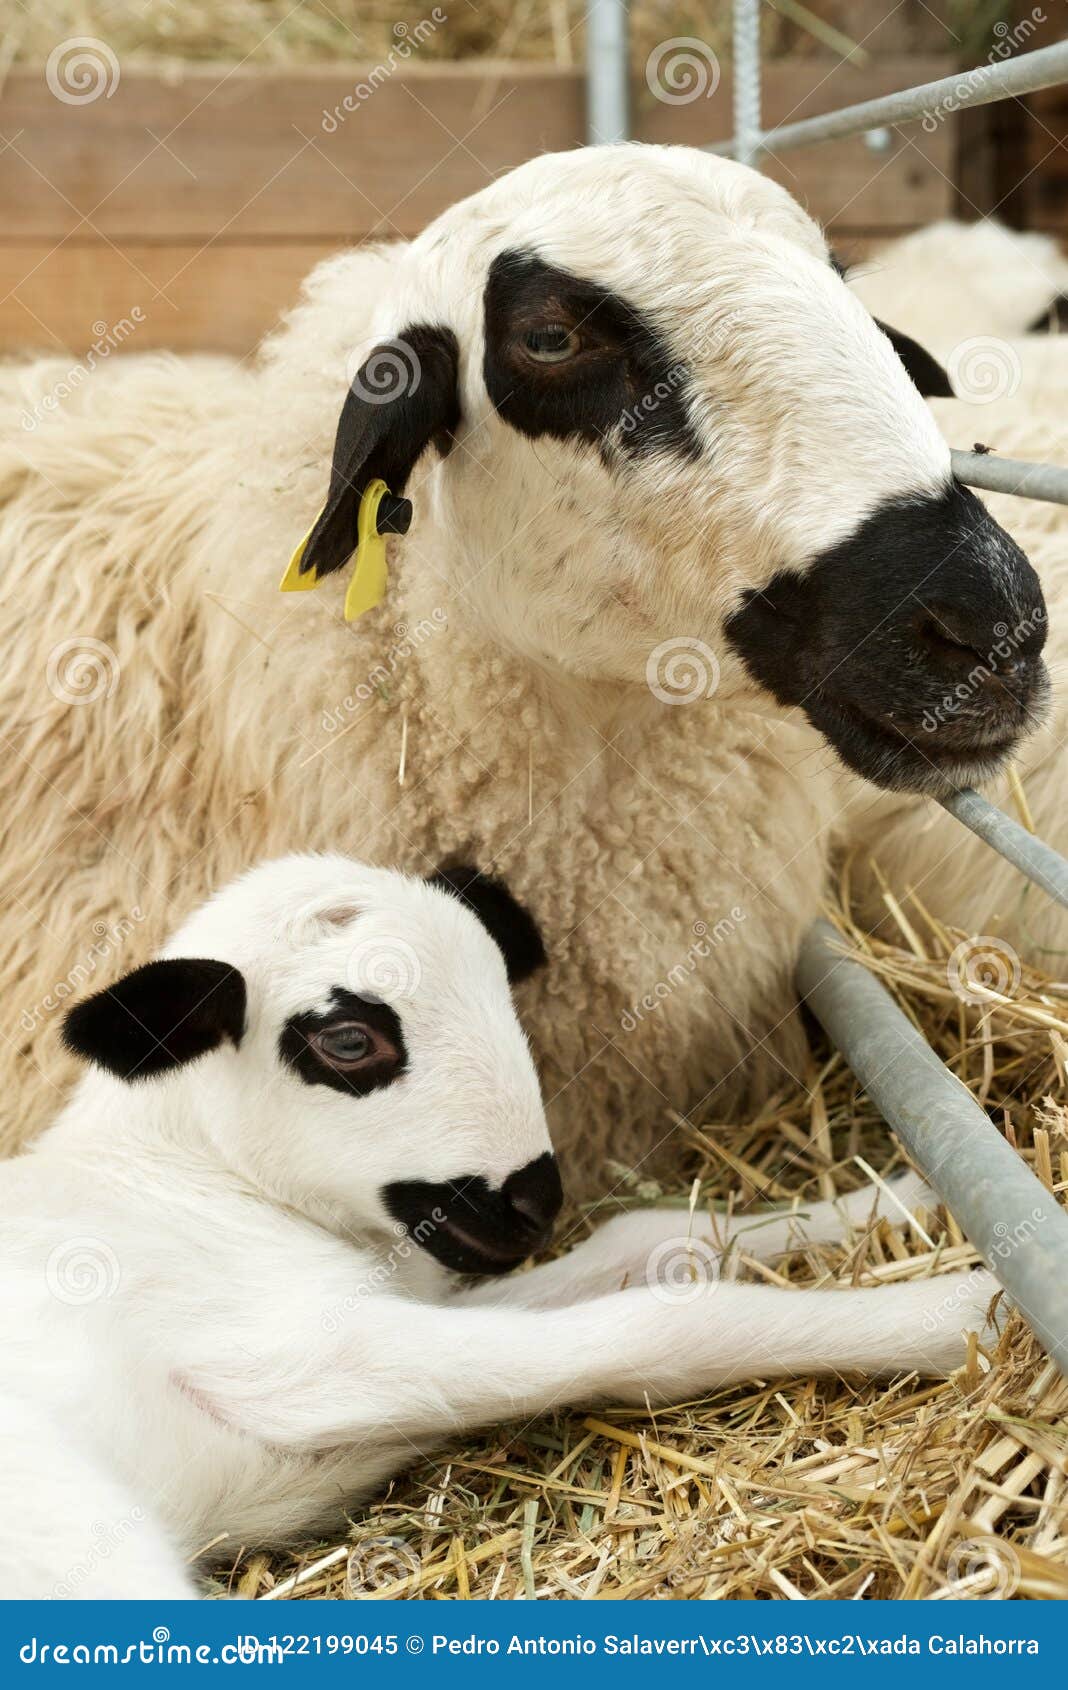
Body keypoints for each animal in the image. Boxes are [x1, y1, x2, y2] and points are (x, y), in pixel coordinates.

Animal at [0, 849, 998, 1598]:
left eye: (501, 989)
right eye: (349, 1041)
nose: (534, 1200)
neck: (191, 1179)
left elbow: (647, 1236)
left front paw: (908, 1194)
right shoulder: (287, 1357)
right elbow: (662, 1326)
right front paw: (959, 1313)